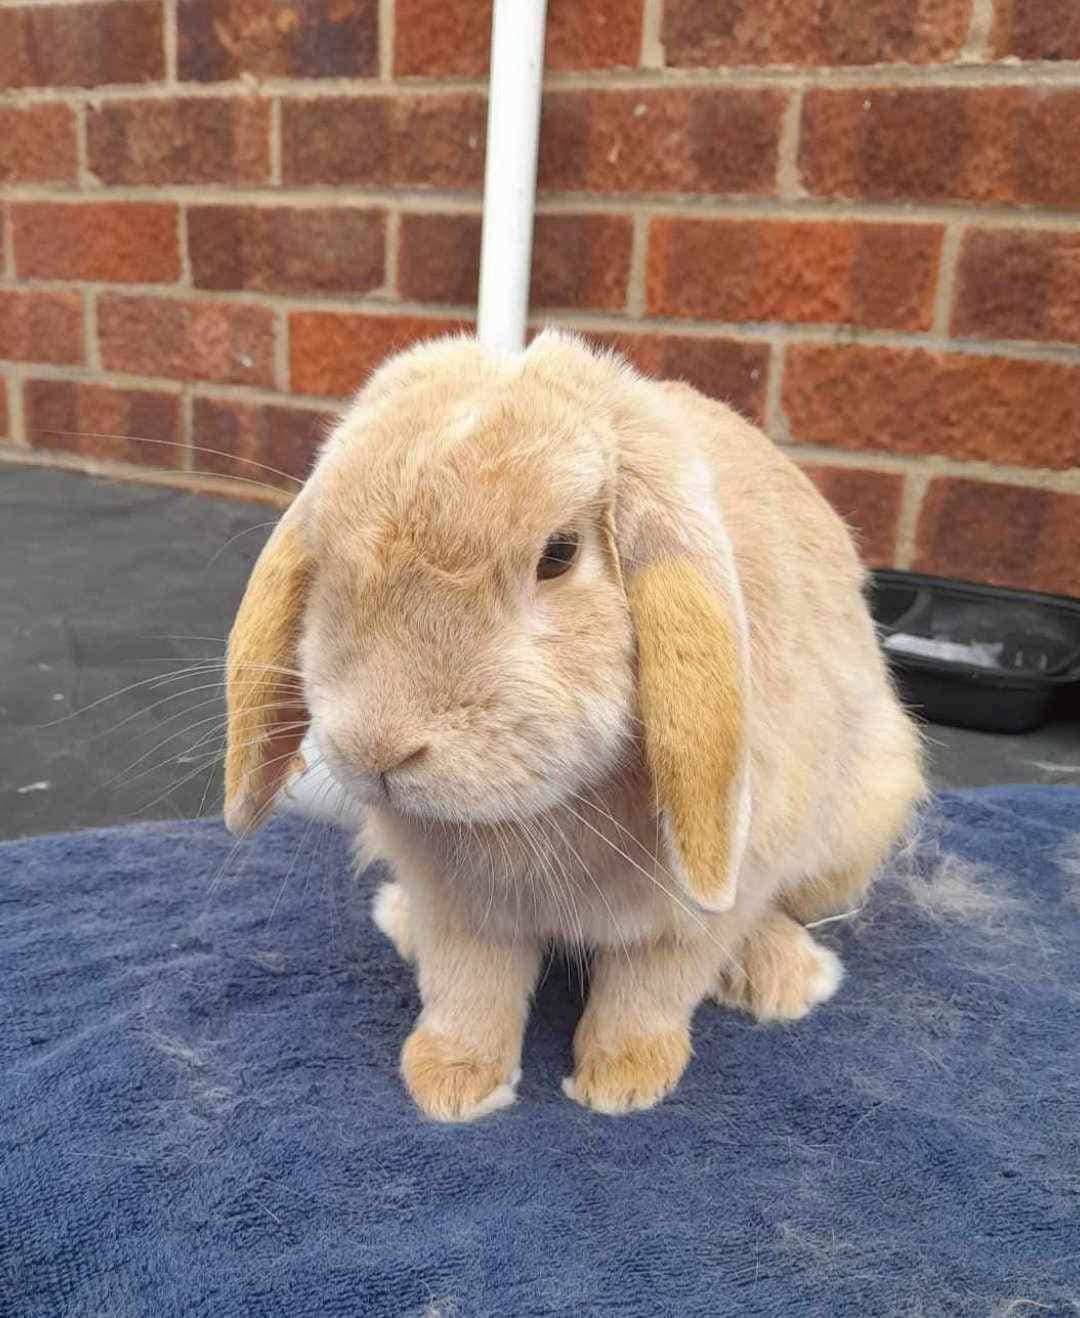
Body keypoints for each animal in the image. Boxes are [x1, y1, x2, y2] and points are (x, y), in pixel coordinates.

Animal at [224, 330, 925, 1122]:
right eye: (323, 556)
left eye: (558, 554)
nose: (376, 748)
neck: (538, 813)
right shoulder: (460, 907)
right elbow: (468, 988)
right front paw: (452, 1084)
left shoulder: (693, 913)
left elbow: (649, 990)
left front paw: (623, 1083)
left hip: (852, 832)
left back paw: (781, 974)